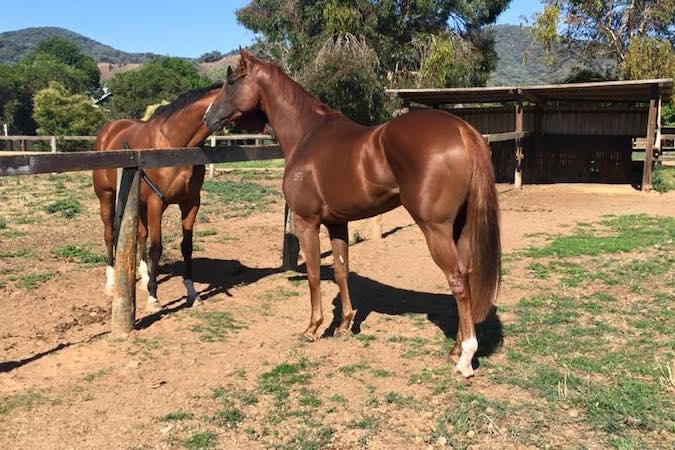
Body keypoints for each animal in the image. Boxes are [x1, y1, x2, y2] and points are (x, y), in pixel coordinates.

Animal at [93, 82, 266, 312]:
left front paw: (192, 292)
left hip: (138, 201)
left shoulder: (190, 203)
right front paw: (153, 298)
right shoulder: (157, 203)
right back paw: (112, 283)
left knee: (141, 234)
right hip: (106, 197)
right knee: (110, 234)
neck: (175, 144)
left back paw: (144, 276)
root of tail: (109, 131)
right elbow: (156, 248)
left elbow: (186, 246)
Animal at [203, 50, 501, 377]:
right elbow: (341, 270)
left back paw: (465, 358)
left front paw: (313, 328)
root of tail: (462, 130)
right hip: (461, 227)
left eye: (232, 82)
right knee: (467, 276)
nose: (207, 117)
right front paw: (344, 324)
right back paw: (456, 349)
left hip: (435, 228)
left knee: (457, 280)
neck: (307, 135)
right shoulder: (337, 223)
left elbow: (314, 274)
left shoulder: (307, 222)